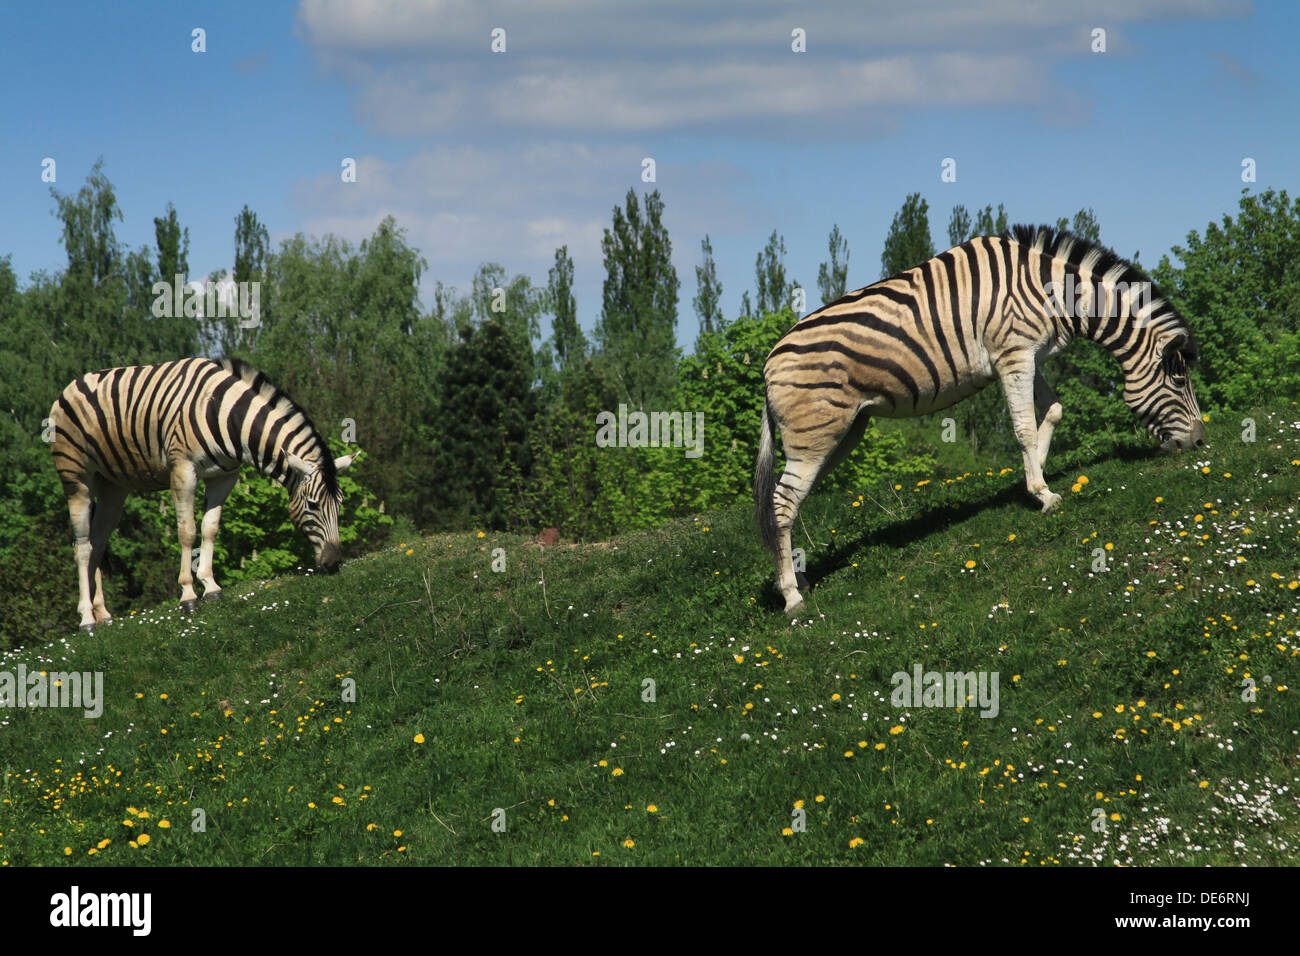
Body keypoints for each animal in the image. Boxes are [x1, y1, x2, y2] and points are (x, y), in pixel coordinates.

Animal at [49, 357, 356, 631]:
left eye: (340, 505)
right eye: (313, 505)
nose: (334, 563)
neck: (227, 415)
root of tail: (69, 386)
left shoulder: (224, 476)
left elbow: (210, 528)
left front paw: (211, 587)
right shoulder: (183, 470)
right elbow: (187, 531)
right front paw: (188, 595)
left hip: (113, 486)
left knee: (98, 543)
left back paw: (103, 614)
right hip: (76, 479)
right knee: (82, 546)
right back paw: (86, 619)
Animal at [754, 224, 1204, 614]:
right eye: (1179, 379)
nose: (1201, 442)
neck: (1052, 290)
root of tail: (769, 361)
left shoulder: (1029, 355)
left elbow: (1052, 411)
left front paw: (1034, 477)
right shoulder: (1013, 354)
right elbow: (1024, 428)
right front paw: (1044, 495)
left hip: (838, 432)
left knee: (791, 500)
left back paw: (799, 576)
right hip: (815, 432)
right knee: (781, 503)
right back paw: (792, 597)